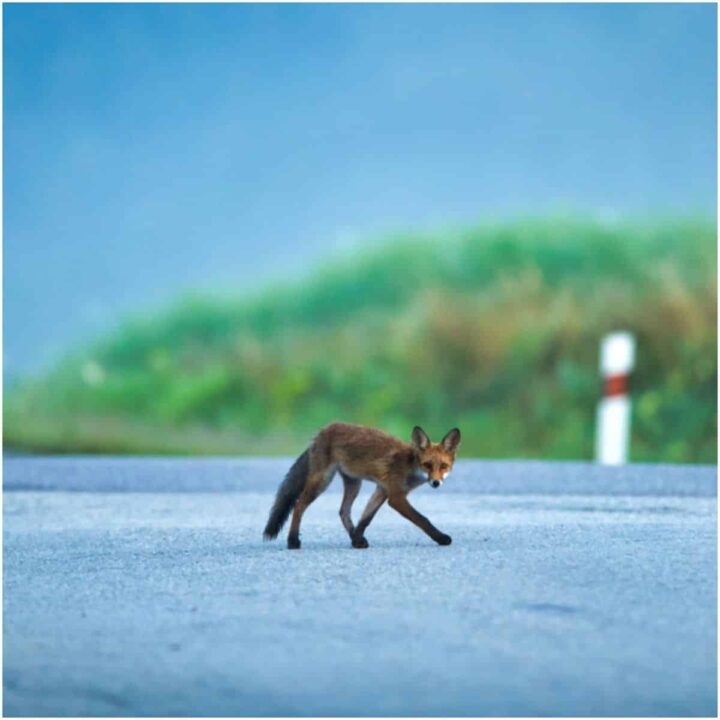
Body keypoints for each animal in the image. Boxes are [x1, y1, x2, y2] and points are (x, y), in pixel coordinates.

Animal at [263, 422, 461, 549]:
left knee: (343, 511)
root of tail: (321, 432)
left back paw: (354, 538)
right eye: (427, 465)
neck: (409, 465)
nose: (436, 482)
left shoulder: (382, 490)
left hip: (353, 483)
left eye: (443, 466)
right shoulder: (395, 496)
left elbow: (366, 518)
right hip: (322, 481)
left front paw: (357, 539)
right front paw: (441, 538)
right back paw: (292, 541)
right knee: (298, 505)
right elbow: (422, 519)